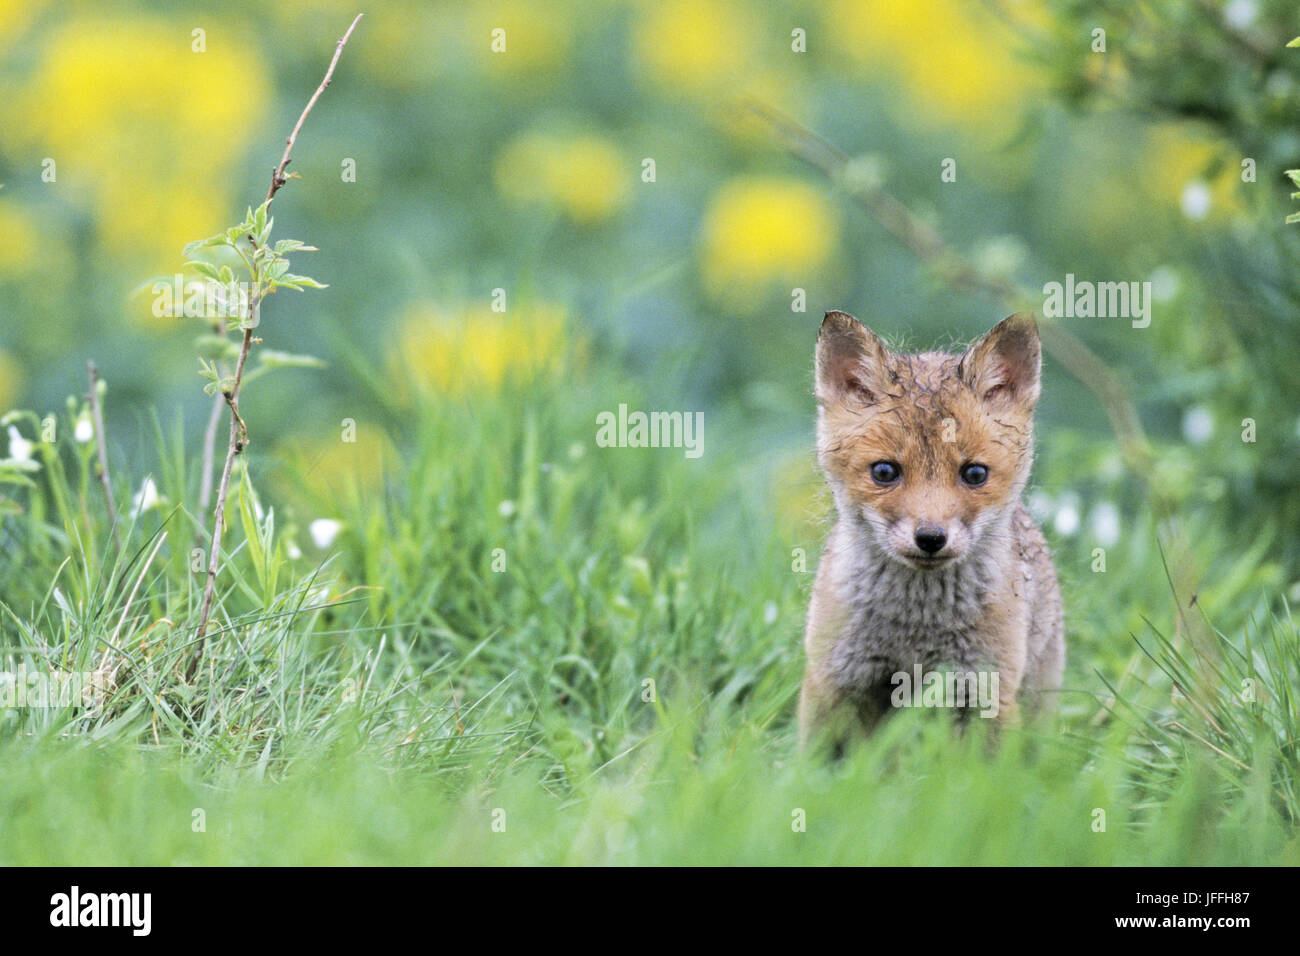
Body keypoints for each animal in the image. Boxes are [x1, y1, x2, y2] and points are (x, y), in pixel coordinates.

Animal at [799, 310, 1064, 751]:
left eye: (974, 474)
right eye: (884, 472)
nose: (930, 538)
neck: (917, 627)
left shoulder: (986, 690)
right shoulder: (835, 678)